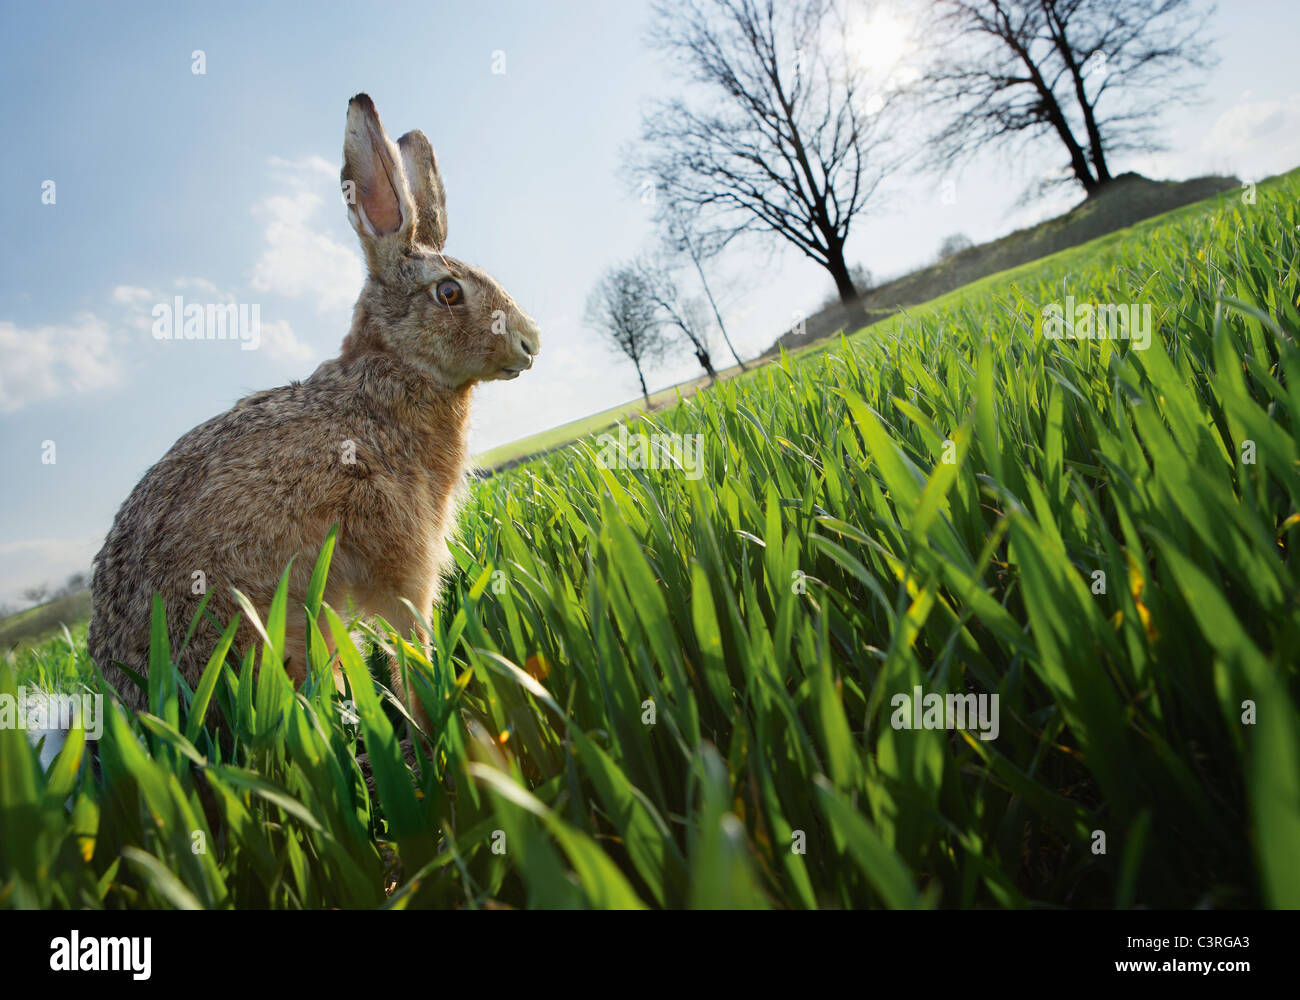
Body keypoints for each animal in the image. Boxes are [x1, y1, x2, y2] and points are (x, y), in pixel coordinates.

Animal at [88, 93, 540, 728]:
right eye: (449, 293)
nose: (530, 343)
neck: (390, 374)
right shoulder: (400, 554)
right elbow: (409, 639)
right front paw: (432, 724)